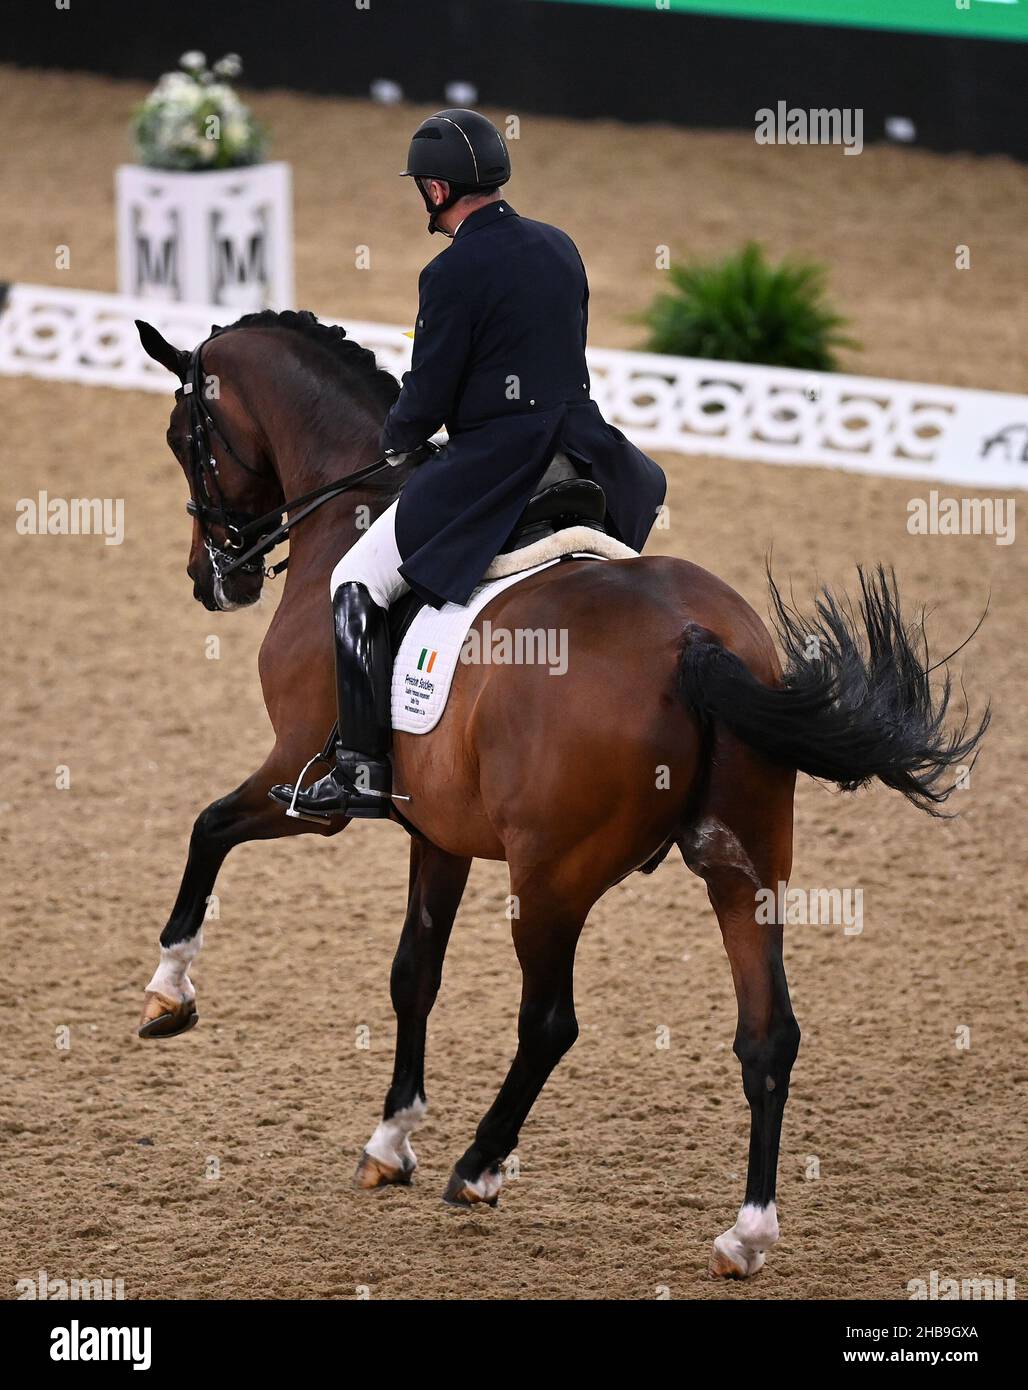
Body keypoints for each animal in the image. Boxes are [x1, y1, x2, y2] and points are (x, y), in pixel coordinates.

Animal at [134, 310, 987, 1278]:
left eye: (184, 441)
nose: (215, 579)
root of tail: (694, 639)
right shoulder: (439, 835)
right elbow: (413, 973)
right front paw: (390, 1140)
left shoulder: (302, 786)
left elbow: (208, 829)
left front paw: (168, 993)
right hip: (745, 865)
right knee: (768, 1034)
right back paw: (746, 1233)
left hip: (549, 882)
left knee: (550, 1023)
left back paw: (480, 1167)